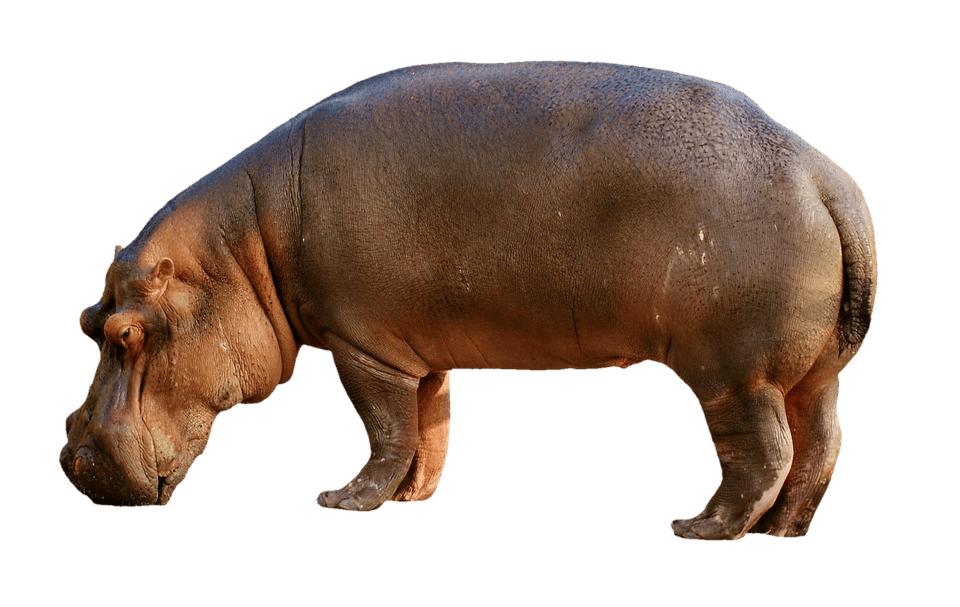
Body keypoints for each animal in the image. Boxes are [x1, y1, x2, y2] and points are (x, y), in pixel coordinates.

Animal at [59, 60, 877, 541]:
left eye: (126, 335)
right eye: (86, 322)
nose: (71, 462)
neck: (243, 245)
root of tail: (821, 172)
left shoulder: (364, 344)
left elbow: (386, 426)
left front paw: (344, 502)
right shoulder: (416, 348)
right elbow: (429, 425)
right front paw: (411, 500)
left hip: (733, 371)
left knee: (761, 452)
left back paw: (703, 528)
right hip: (813, 372)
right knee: (822, 443)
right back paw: (785, 532)